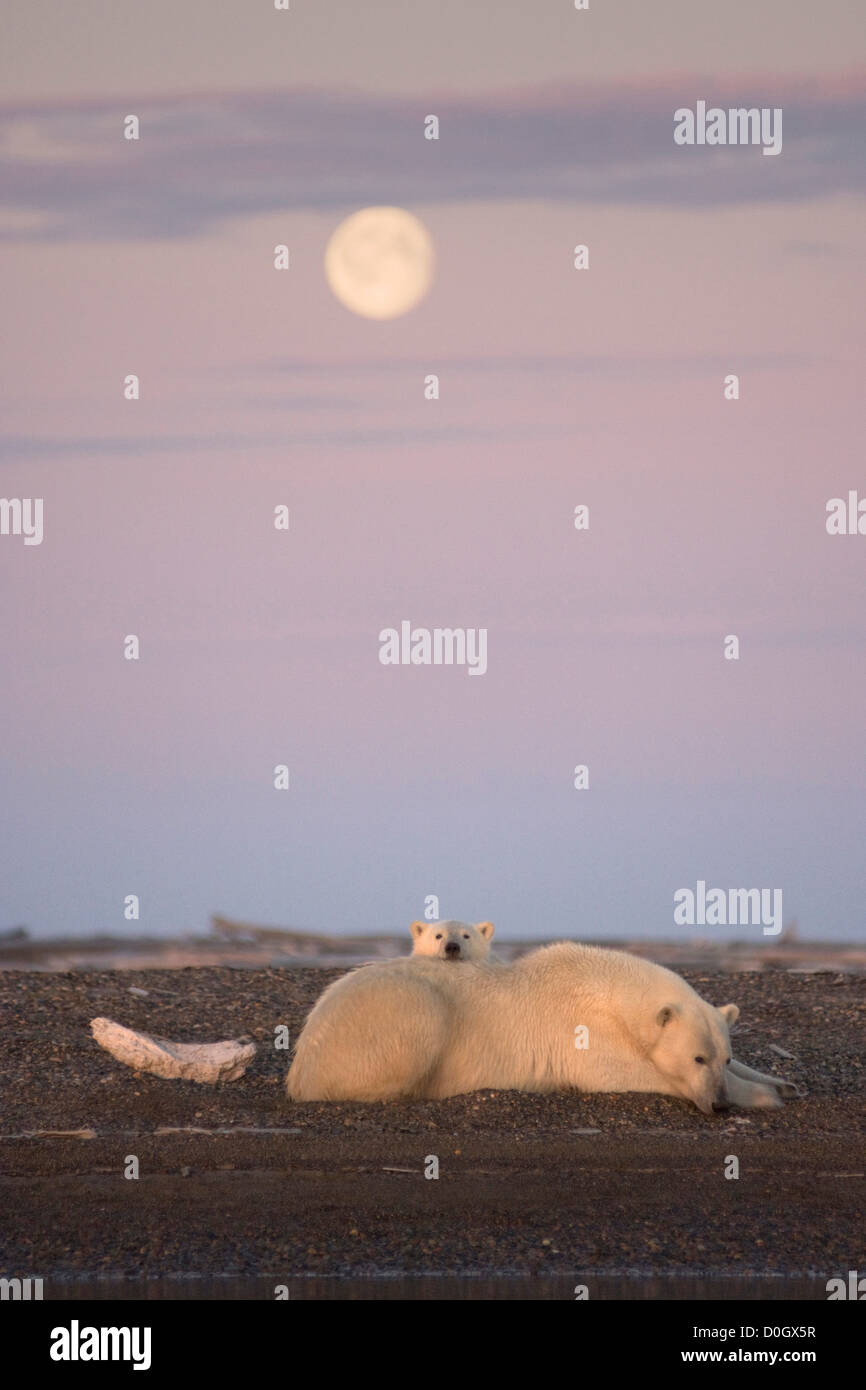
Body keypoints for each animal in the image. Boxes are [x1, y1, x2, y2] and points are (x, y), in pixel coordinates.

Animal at [286, 942, 799, 1113]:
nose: (719, 1105)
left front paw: (778, 1081)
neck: (611, 988)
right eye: (697, 1057)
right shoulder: (582, 1031)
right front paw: (763, 1096)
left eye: (723, 1056)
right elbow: (622, 1071)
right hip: (393, 1010)